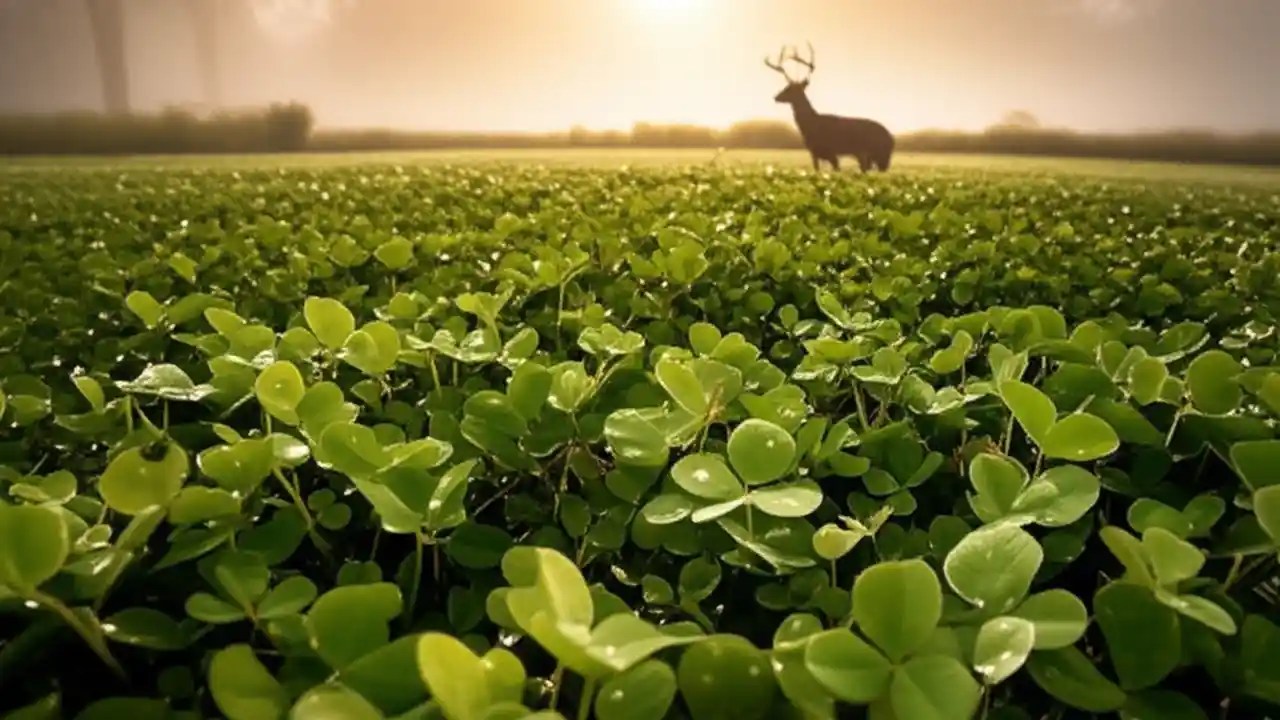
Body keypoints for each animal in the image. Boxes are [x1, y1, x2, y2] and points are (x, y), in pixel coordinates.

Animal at [765, 43, 895, 173]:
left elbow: (836, 169)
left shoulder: (831, 152)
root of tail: (891, 138)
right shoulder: (814, 153)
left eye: (790, 89)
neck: (812, 125)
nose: (776, 97)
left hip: (879, 155)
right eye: (786, 87)